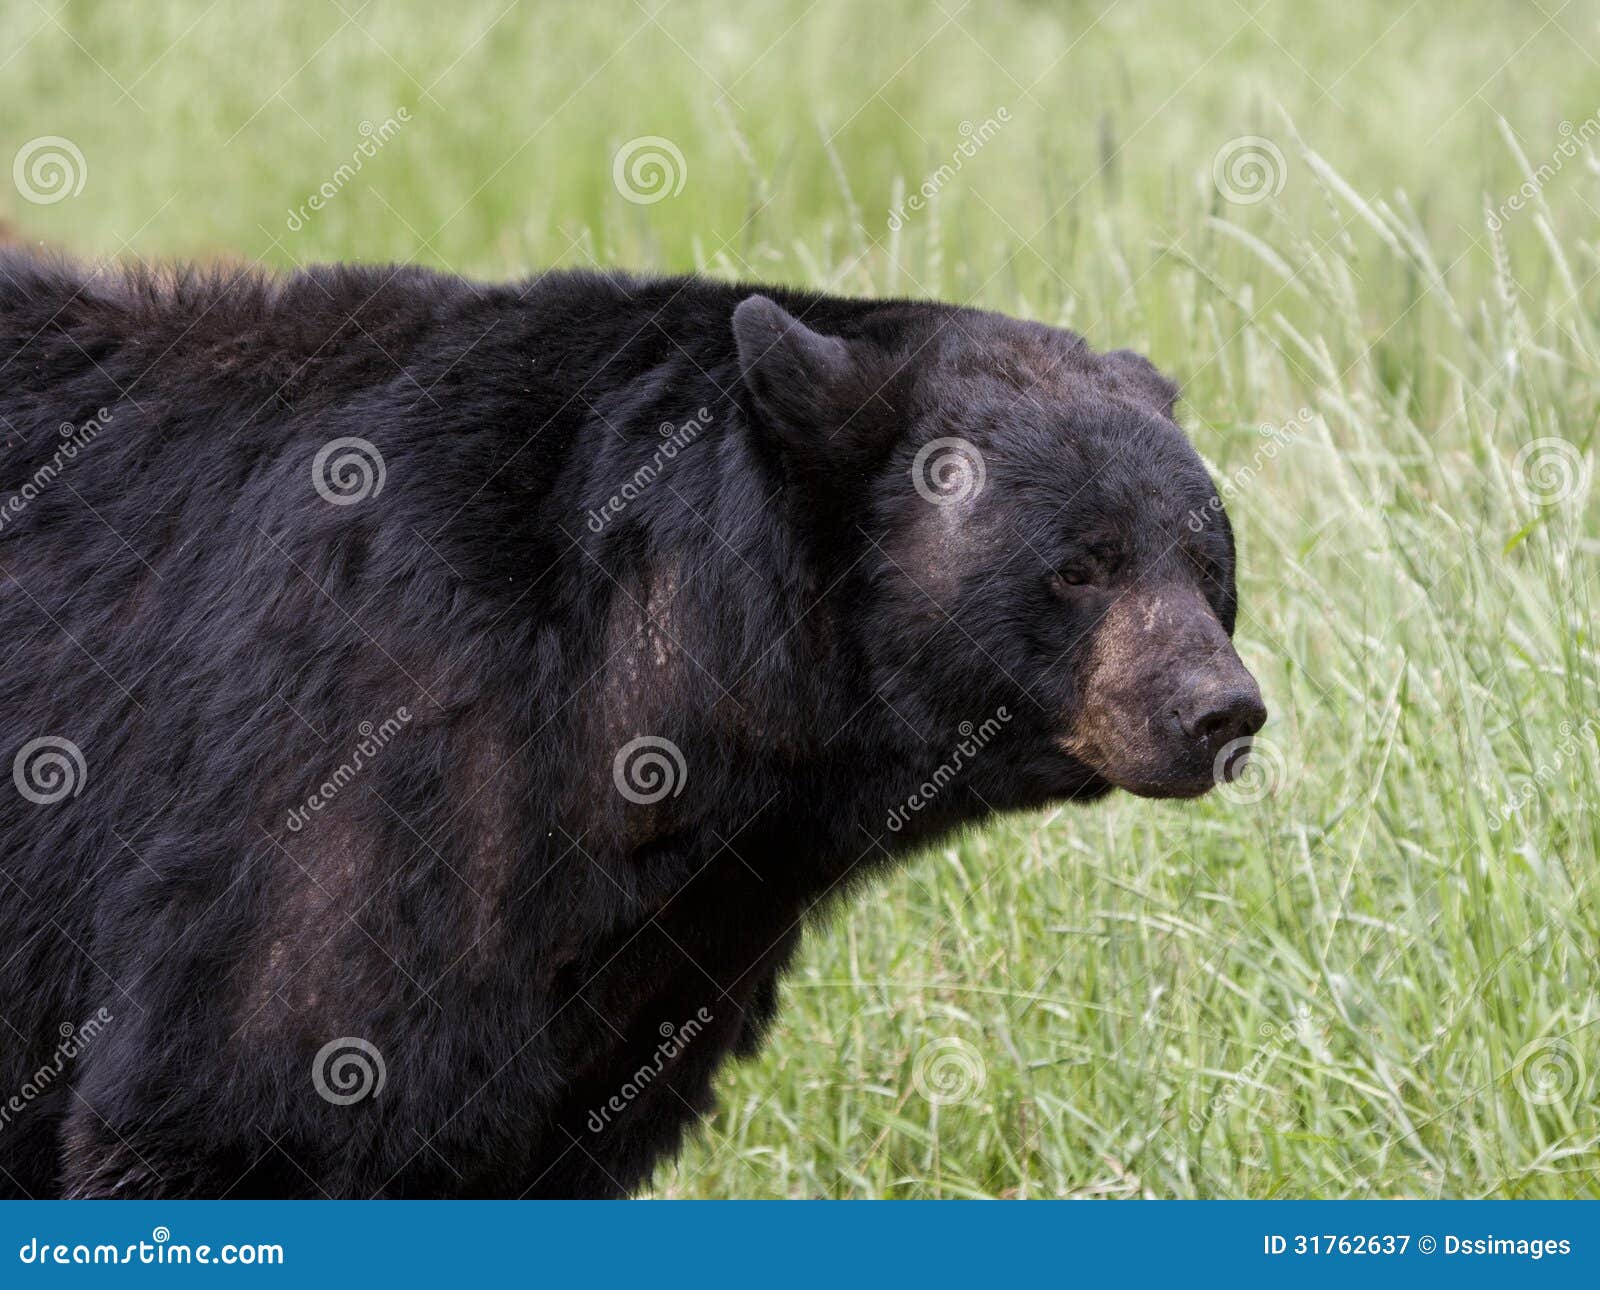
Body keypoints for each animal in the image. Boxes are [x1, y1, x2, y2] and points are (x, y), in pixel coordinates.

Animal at [0, 252, 1264, 1198]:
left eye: (1206, 559)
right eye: (1079, 565)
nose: (1220, 710)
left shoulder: (641, 977)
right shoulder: (360, 770)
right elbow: (237, 1097)